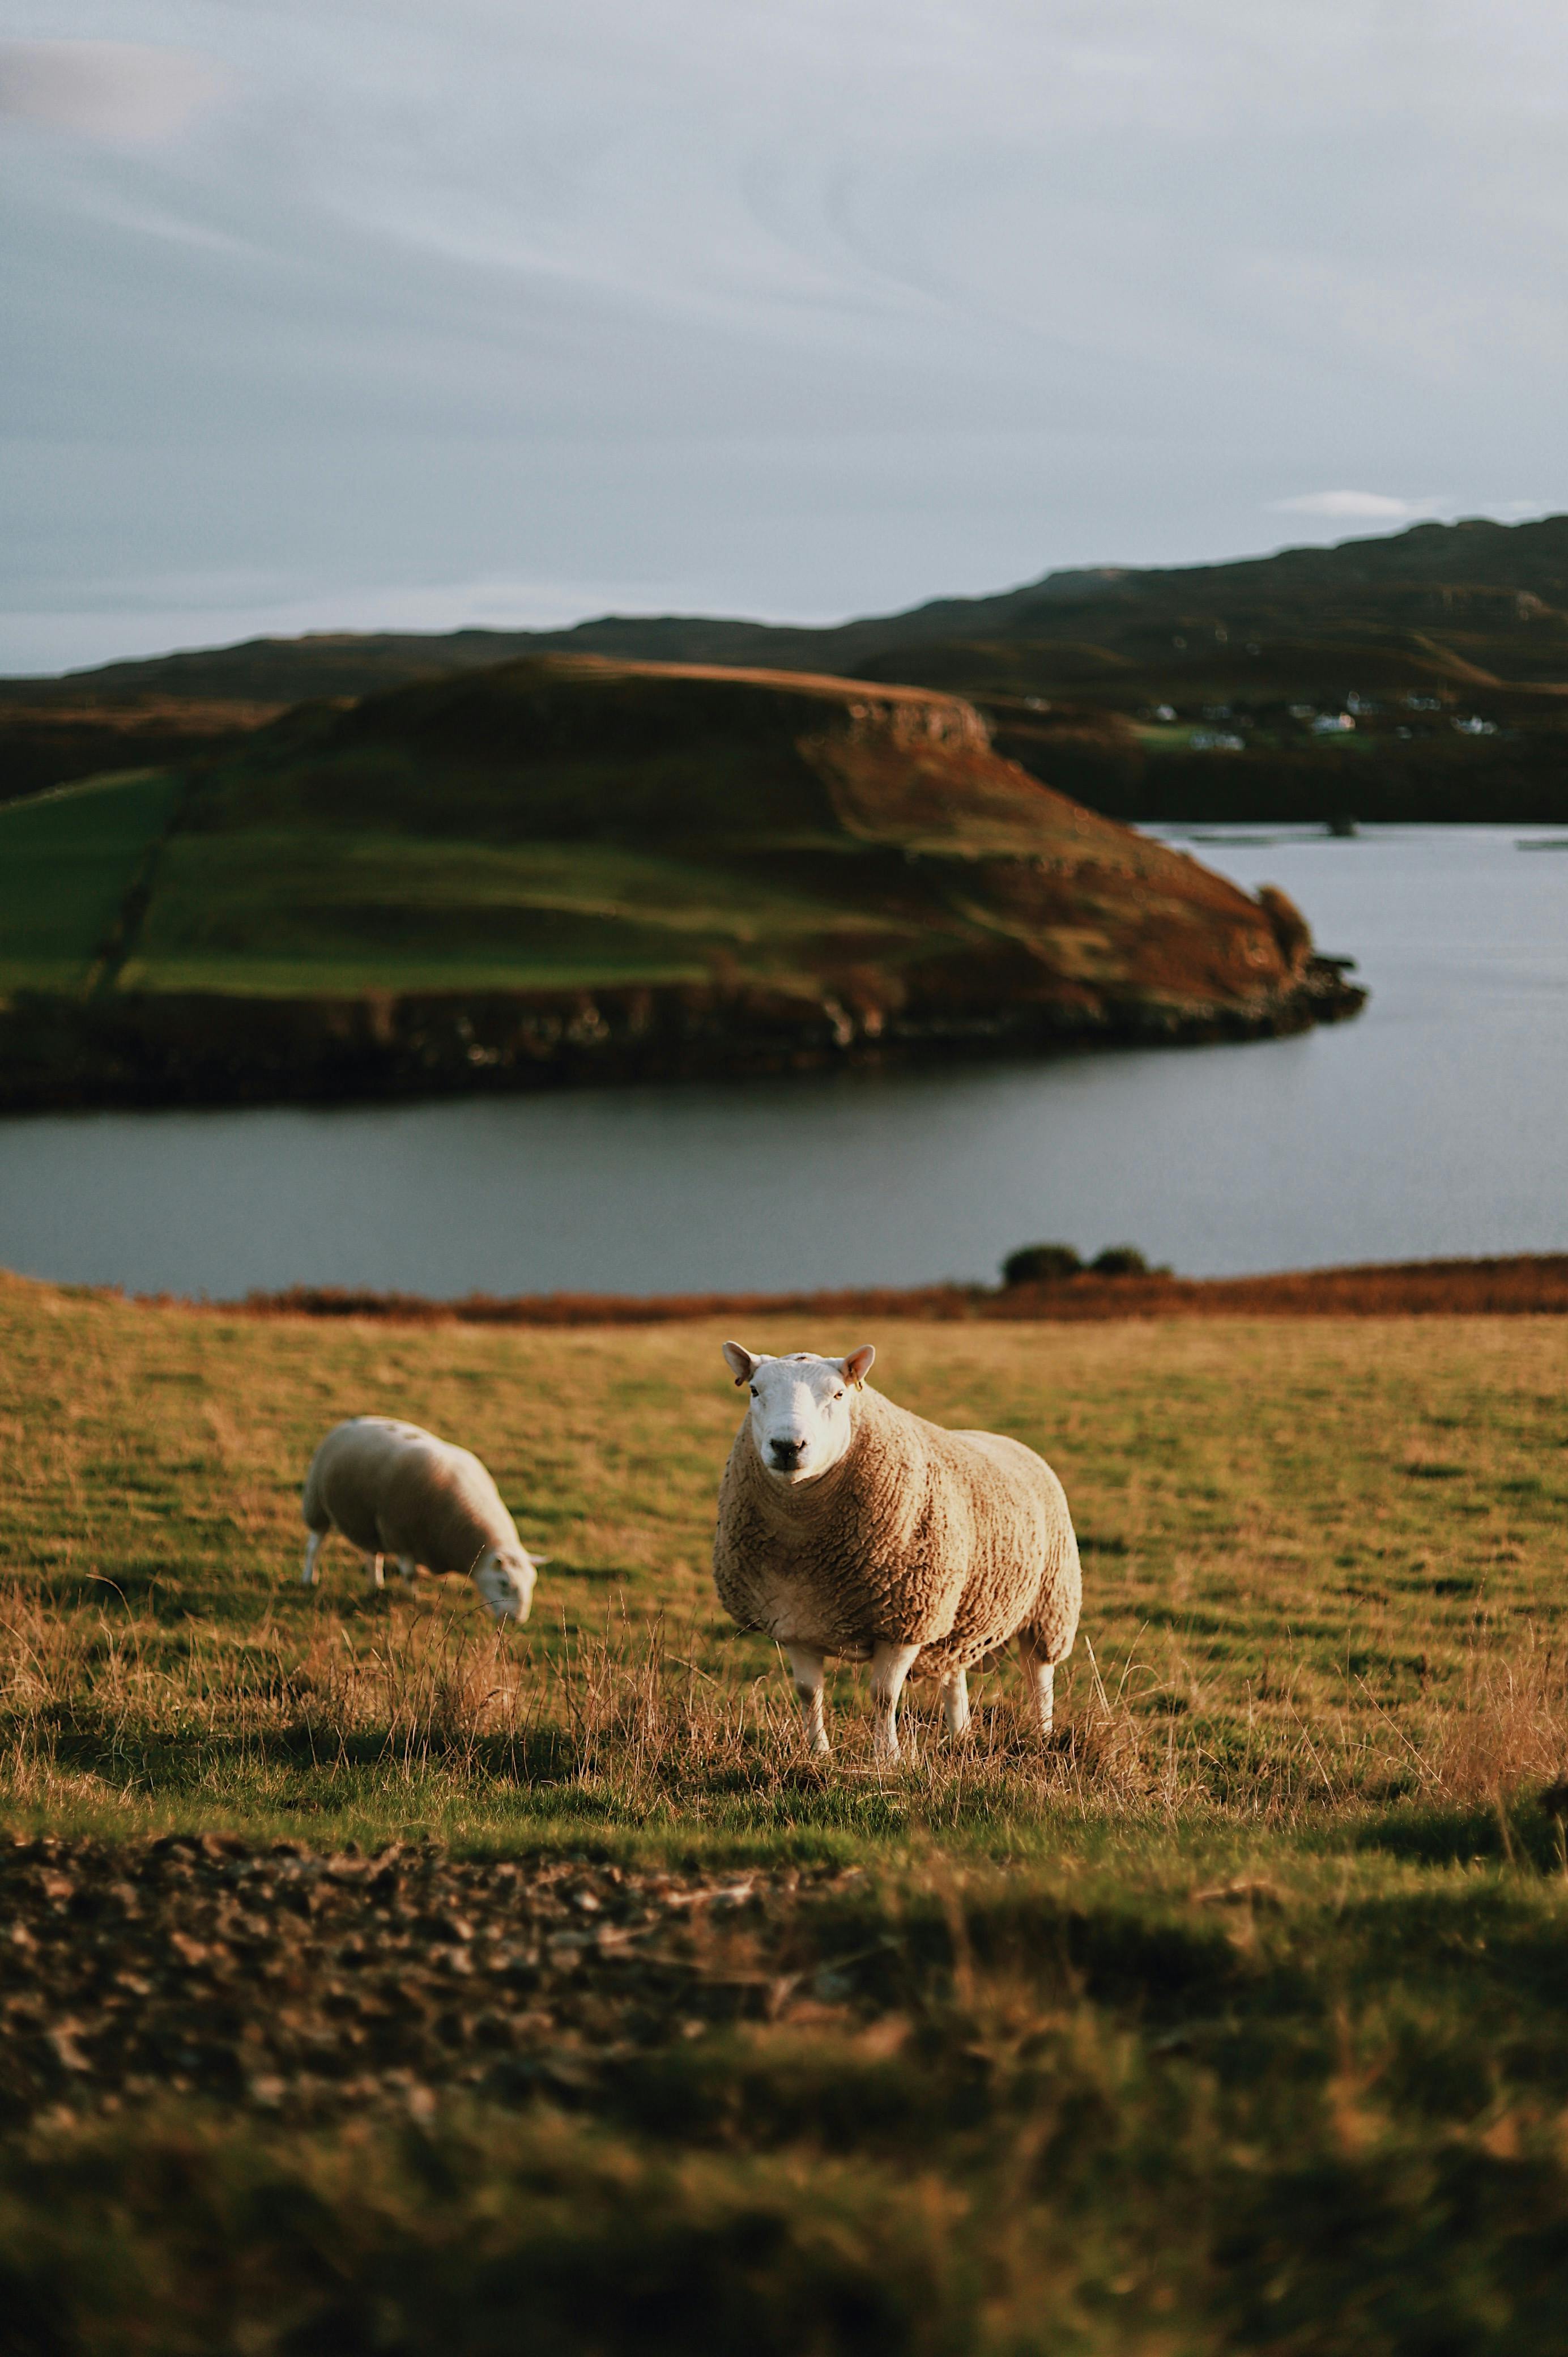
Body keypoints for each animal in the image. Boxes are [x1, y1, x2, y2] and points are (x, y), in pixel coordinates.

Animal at [300, 1417, 539, 1621]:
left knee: (373, 1554)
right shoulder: (398, 1532)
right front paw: (412, 1600)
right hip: (317, 1502)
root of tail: (352, 1420)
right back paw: (309, 1578)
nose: (517, 1620)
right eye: (504, 1583)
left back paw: (376, 1585)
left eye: (531, 1584)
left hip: (369, 1521)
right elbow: (410, 1574)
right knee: (315, 1545)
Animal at [713, 1344, 1080, 1759]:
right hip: (954, 1612)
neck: (805, 1548)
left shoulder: (905, 1621)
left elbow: (884, 1696)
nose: (788, 1447)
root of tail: (1006, 1440)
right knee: (954, 1674)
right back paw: (961, 1735)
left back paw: (1043, 1736)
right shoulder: (794, 1621)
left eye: (839, 1395)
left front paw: (888, 1758)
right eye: (754, 1391)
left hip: (1050, 1603)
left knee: (1040, 1677)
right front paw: (818, 1754)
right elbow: (809, 1693)